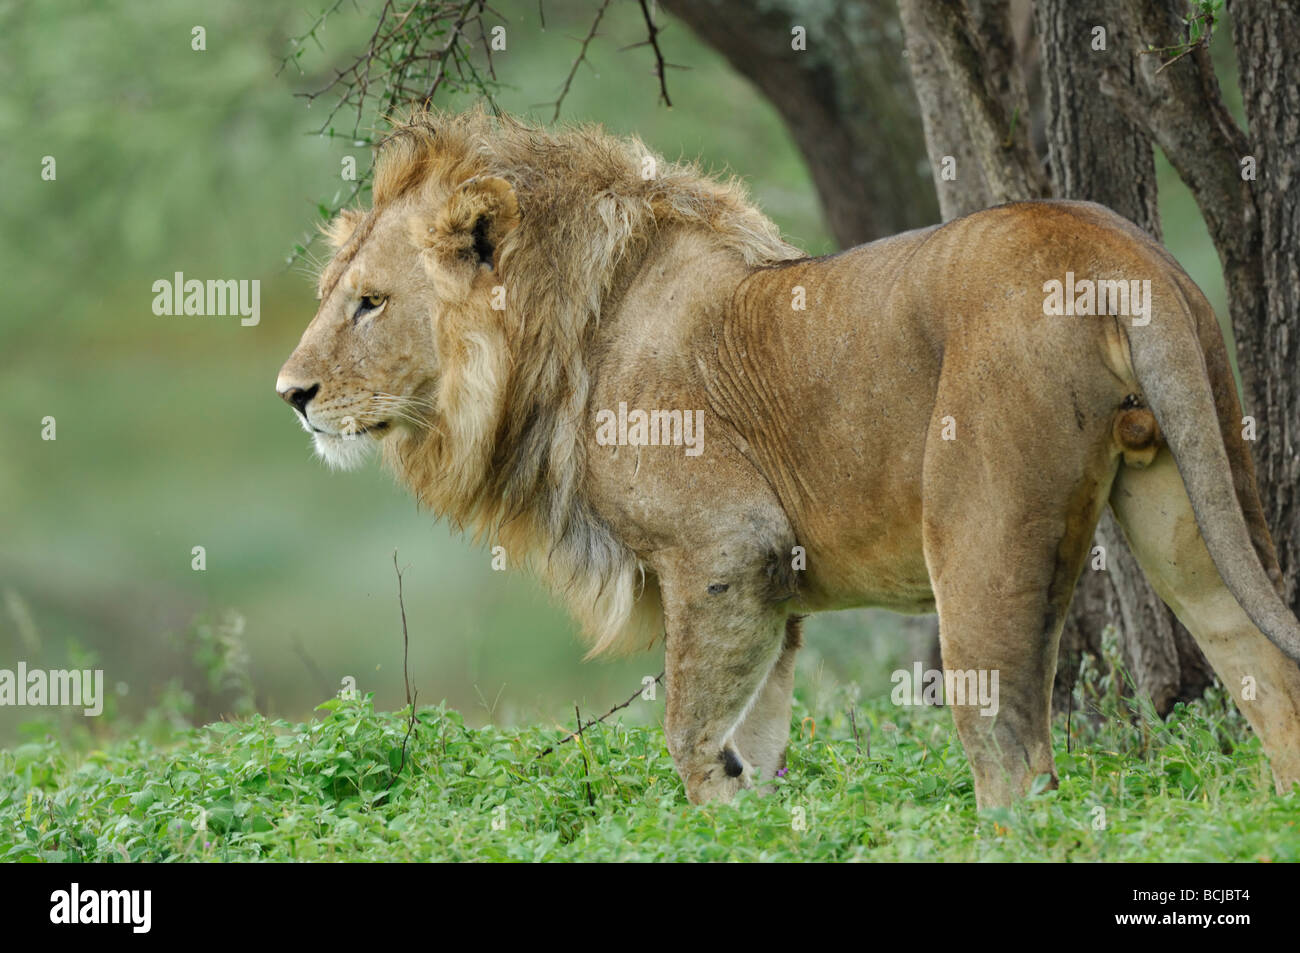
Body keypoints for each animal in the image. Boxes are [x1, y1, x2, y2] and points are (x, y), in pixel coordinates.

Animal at [277, 109, 1300, 809]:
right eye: (334, 293)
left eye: (370, 303)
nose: (292, 393)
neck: (567, 333)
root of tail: (1109, 242)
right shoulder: (772, 592)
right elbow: (755, 735)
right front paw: (758, 819)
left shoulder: (728, 548)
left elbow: (691, 736)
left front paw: (719, 810)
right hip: (1189, 501)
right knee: (1260, 660)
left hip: (981, 542)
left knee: (1013, 757)